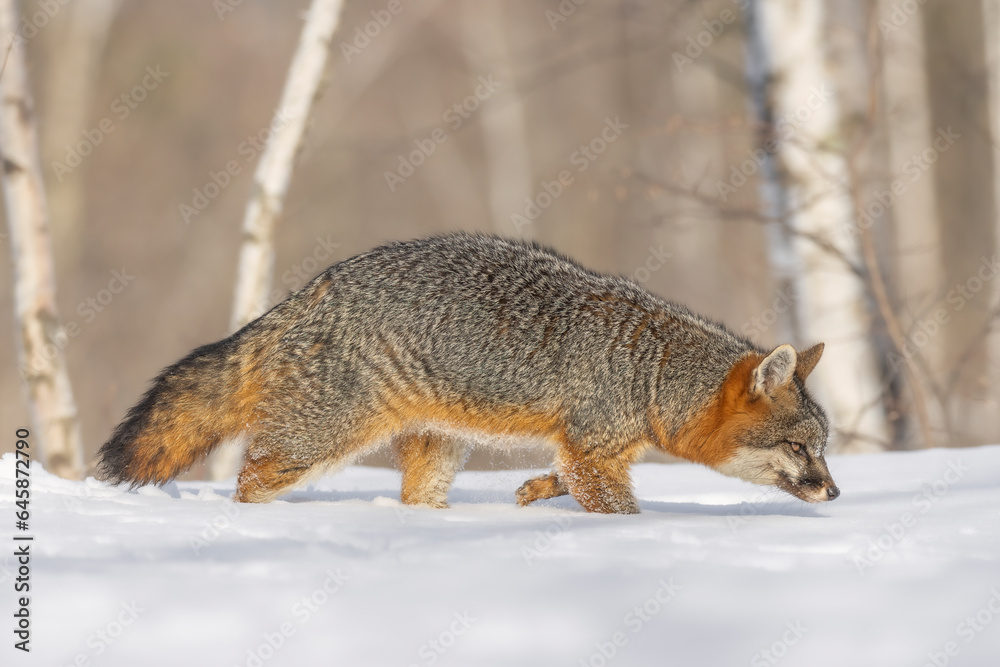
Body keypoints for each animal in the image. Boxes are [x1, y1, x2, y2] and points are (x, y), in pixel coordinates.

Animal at [97, 233, 839, 514]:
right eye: (800, 448)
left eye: (823, 449)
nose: (834, 492)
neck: (648, 368)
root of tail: (312, 290)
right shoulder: (594, 450)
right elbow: (621, 510)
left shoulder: (589, 453)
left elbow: (561, 478)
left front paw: (534, 492)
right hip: (316, 443)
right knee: (250, 479)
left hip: (439, 451)